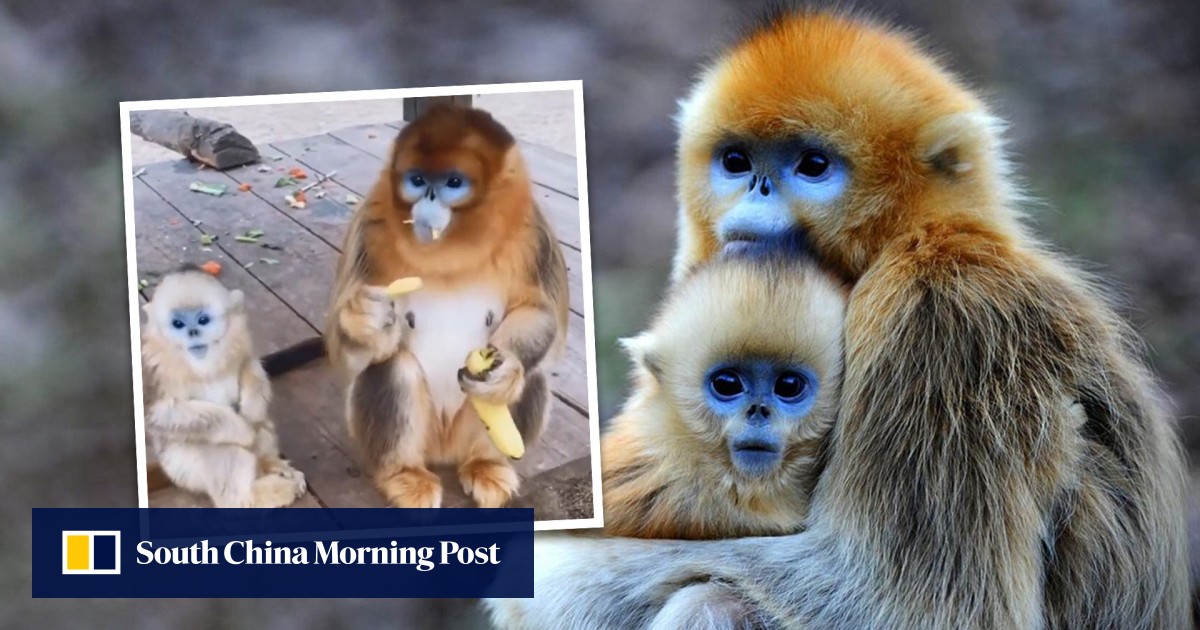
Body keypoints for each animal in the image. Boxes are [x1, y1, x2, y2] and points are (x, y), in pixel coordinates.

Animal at [141, 264, 307, 508]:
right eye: (178, 324)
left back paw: (270, 463)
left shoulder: (239, 339)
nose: (193, 332)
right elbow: (159, 414)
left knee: (261, 427)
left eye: (202, 320)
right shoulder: (152, 365)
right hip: (183, 469)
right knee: (226, 453)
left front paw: (251, 409)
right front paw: (241, 429)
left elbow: (248, 366)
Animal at [325, 104, 568, 509]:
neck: (453, 248)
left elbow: (536, 310)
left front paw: (505, 370)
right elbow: (346, 351)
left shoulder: (532, 235)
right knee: (394, 367)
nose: (428, 200)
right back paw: (404, 474)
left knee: (530, 376)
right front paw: (365, 319)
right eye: (417, 179)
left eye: (453, 183)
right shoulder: (368, 225)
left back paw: (487, 464)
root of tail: (443, 449)